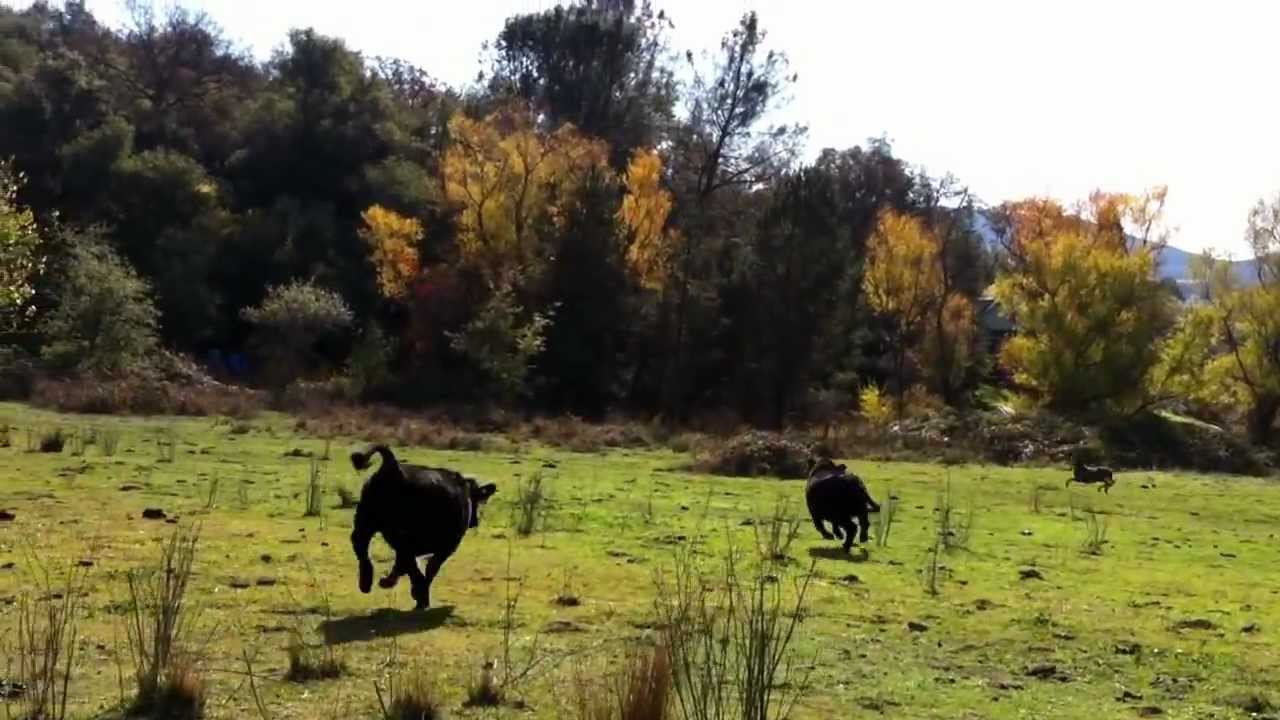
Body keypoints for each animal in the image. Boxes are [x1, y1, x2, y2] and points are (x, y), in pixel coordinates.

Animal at [349, 444, 497, 609]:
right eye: (477, 500)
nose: (475, 521)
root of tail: (393, 466)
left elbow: (405, 564)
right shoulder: (447, 546)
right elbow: (431, 568)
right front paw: (419, 593)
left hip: (365, 520)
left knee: (361, 545)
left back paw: (367, 582)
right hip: (401, 533)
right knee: (405, 557)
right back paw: (417, 592)